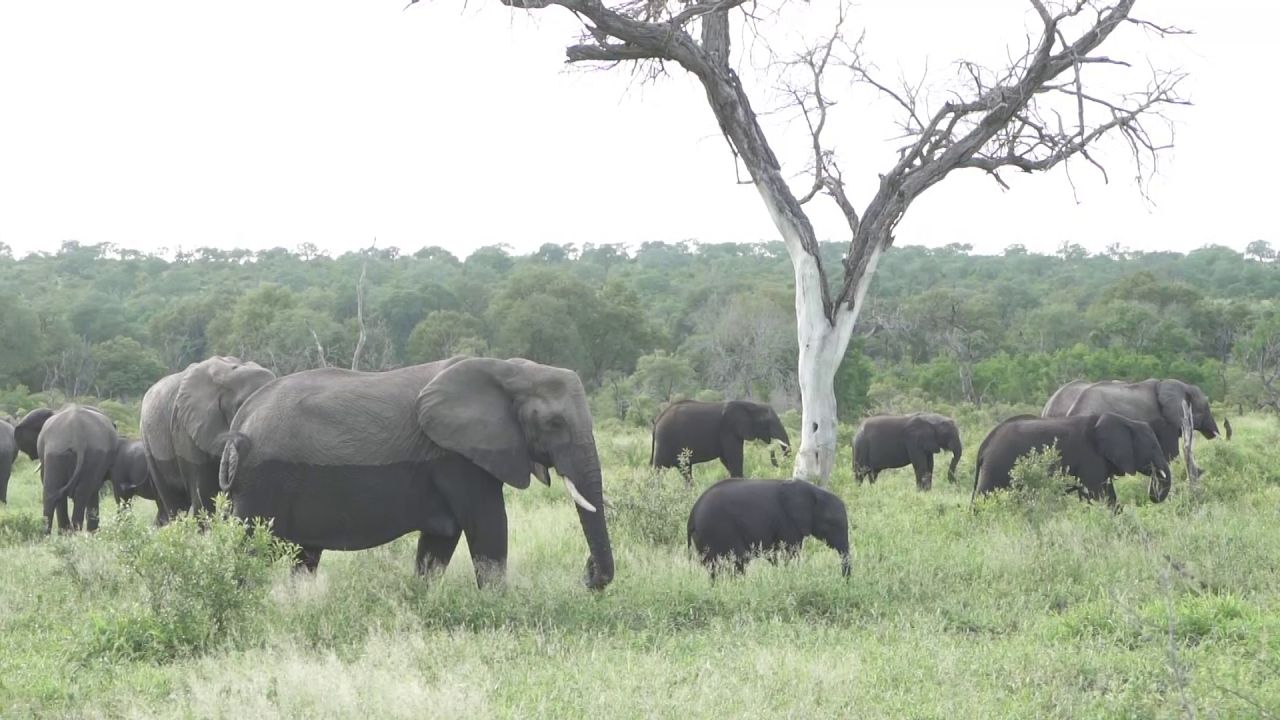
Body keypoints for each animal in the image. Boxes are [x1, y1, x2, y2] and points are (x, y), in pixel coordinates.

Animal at [217, 356, 614, 590]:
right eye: (554, 423)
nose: (589, 571)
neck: (509, 370)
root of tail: (240, 425)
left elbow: (440, 541)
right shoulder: (456, 457)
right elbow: (488, 525)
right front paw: (498, 607)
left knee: (305, 557)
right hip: (263, 482)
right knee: (249, 550)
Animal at [650, 399, 791, 482]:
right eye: (768, 422)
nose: (772, 445)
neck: (751, 405)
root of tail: (657, 420)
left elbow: (726, 460)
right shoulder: (728, 430)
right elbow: (735, 459)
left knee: (684, 469)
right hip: (665, 441)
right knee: (659, 469)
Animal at [686, 478, 851, 579]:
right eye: (832, 523)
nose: (844, 581)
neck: (813, 490)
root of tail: (692, 513)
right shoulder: (788, 523)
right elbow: (790, 553)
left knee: (713, 566)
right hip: (718, 530)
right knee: (737, 561)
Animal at [973, 413, 1173, 505]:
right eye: (1153, 447)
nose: (1152, 493)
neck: (1126, 421)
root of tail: (985, 444)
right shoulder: (1091, 458)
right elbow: (1098, 495)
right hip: (997, 465)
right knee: (984, 496)